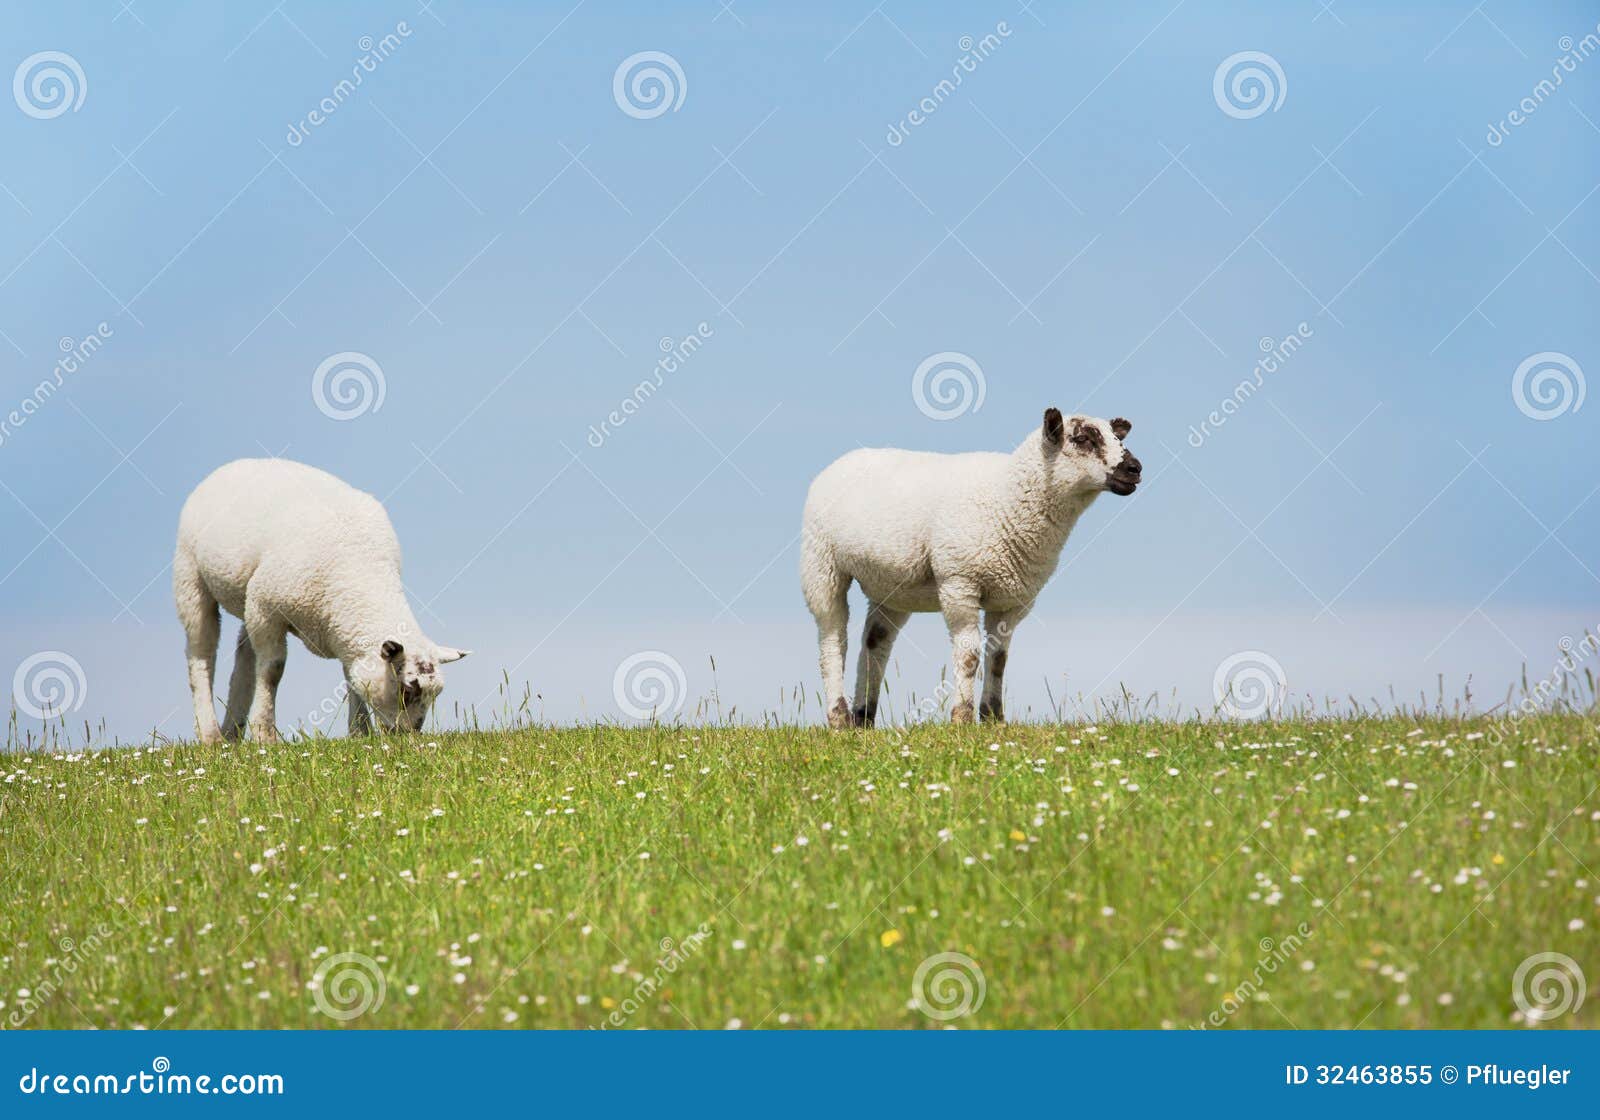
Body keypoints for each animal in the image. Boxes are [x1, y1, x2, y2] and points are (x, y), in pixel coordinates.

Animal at [173, 458, 469, 743]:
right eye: (407, 690)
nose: (408, 735)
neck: (359, 563)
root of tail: (233, 465)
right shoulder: (267, 610)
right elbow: (272, 670)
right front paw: (265, 734)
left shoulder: (331, 624)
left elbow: (351, 676)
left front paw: (360, 731)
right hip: (191, 577)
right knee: (201, 656)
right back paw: (210, 734)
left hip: (248, 596)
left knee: (244, 655)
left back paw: (232, 733)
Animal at [800, 408, 1140, 728]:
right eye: (1082, 439)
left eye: (1117, 437)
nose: (1135, 469)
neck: (1008, 498)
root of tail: (844, 459)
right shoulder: (959, 582)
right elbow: (969, 657)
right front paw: (962, 717)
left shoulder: (1013, 600)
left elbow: (998, 659)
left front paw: (993, 717)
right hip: (821, 565)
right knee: (832, 642)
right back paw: (839, 718)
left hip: (891, 588)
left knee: (874, 644)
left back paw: (863, 719)